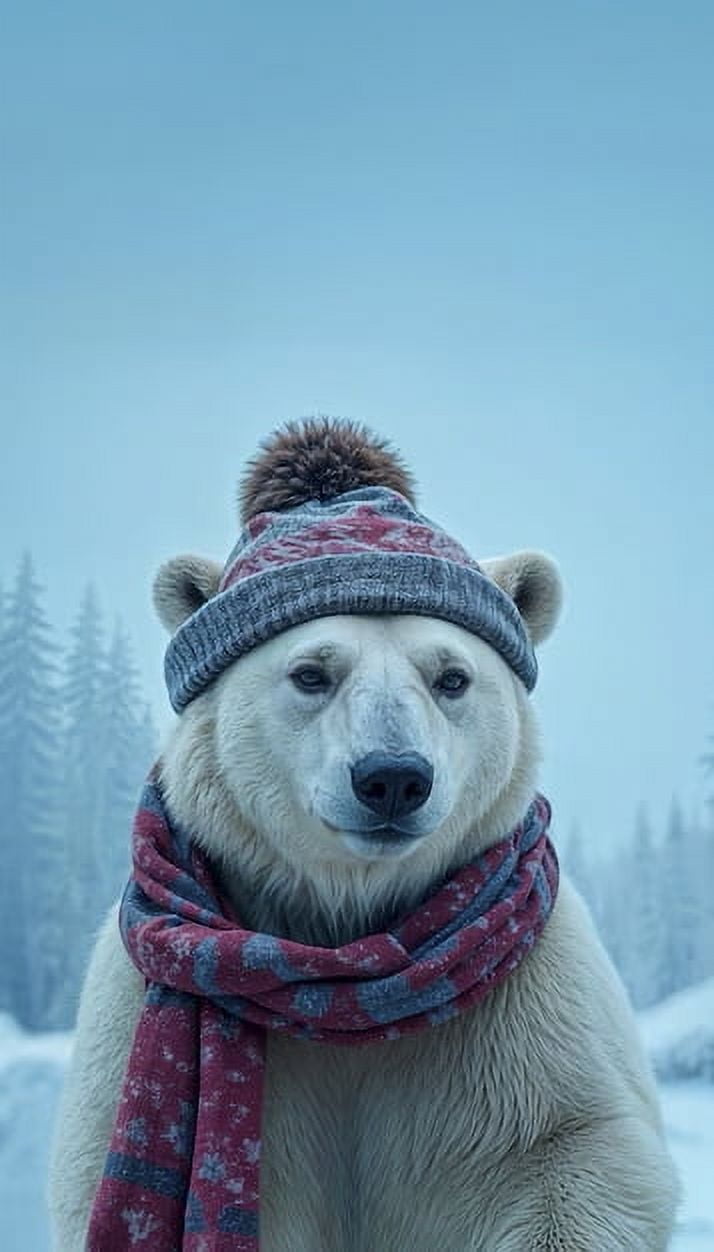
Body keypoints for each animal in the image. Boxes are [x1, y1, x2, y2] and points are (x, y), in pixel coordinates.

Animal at [49, 419, 679, 1250]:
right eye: (312, 673)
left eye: (452, 677)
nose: (392, 778)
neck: (348, 935)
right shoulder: (132, 1028)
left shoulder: (525, 1025)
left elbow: (578, 1154)